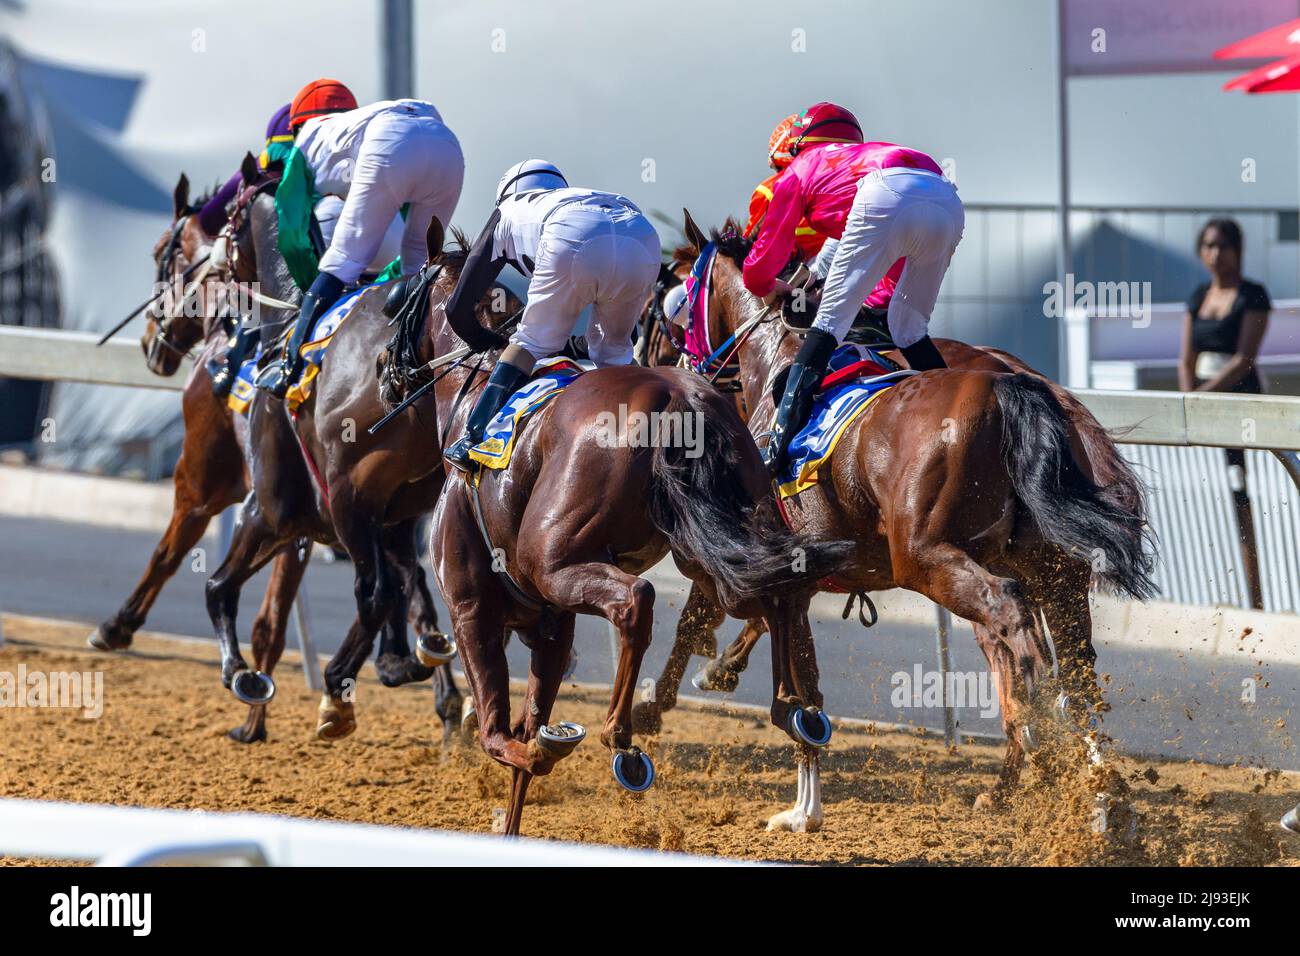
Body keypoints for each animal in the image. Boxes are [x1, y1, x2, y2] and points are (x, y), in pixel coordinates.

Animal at [403, 220, 854, 836]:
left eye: (402, 294)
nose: (388, 368)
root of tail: (679, 397)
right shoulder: (551, 622)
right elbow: (521, 747)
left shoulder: (474, 609)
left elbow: (501, 736)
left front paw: (544, 745)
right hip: (715, 547)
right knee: (777, 589)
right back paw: (792, 707)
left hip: (559, 562)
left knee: (636, 601)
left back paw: (624, 739)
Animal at [634, 214, 1155, 830]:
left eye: (669, 307)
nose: (652, 367)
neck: (775, 365)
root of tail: (1015, 385)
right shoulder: (796, 577)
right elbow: (796, 682)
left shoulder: (774, 567)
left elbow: (747, 649)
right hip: (1051, 569)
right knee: (1072, 661)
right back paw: (1093, 792)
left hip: (927, 558)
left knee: (1012, 619)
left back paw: (1040, 741)